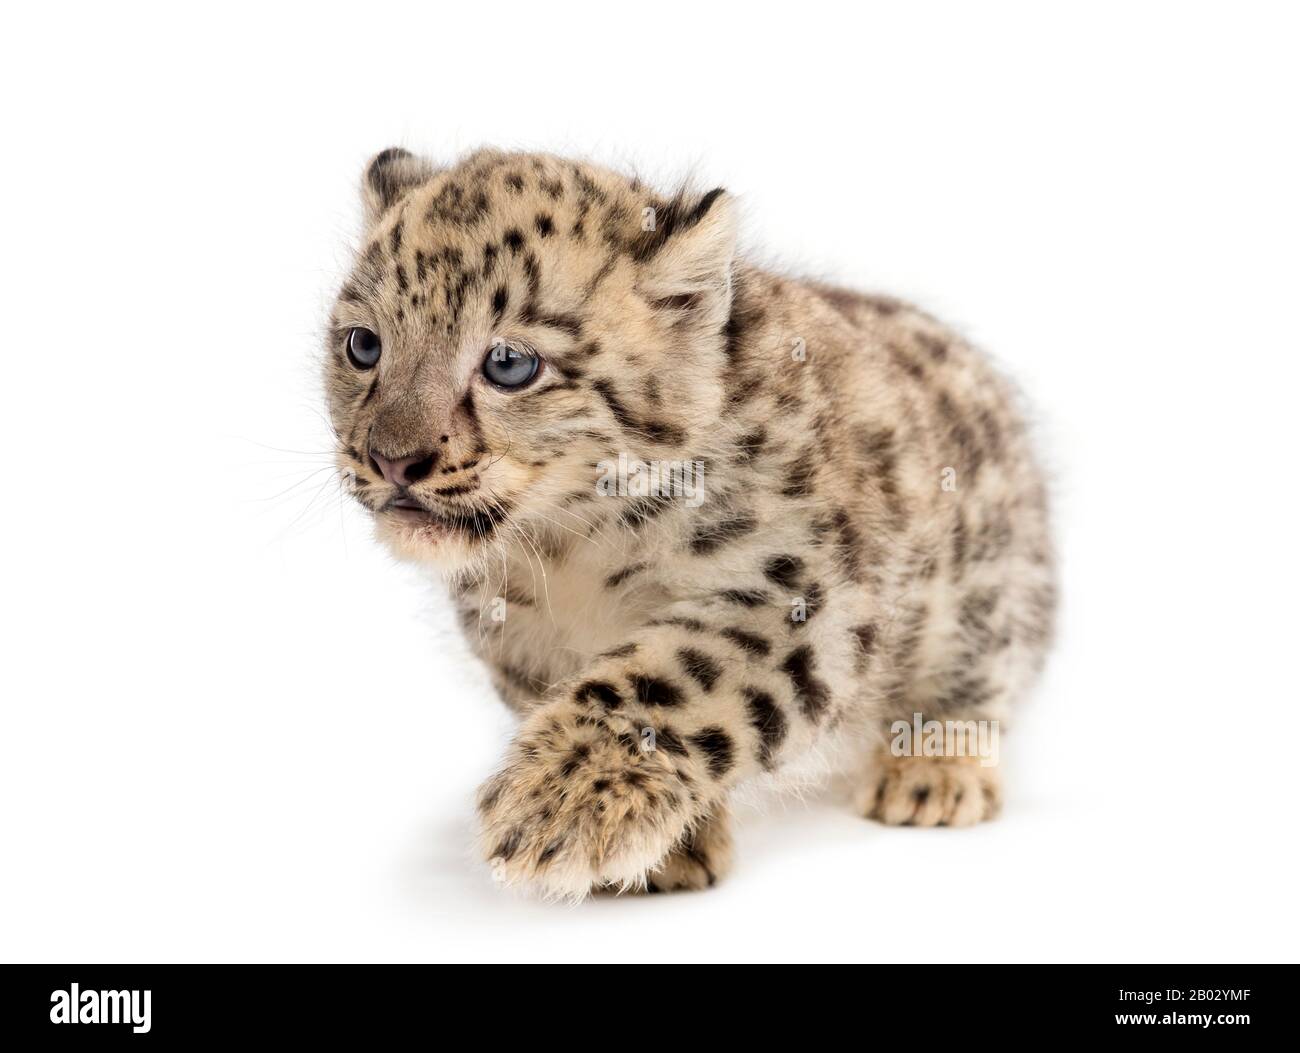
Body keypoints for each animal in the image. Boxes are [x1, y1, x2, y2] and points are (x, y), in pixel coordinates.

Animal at [322, 146, 1056, 900]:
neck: (564, 549)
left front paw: (556, 805)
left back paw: (934, 773)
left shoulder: (795, 590)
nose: (391, 458)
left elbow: (667, 683)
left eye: (509, 362)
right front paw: (673, 848)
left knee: (984, 670)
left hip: (987, 587)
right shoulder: (515, 634)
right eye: (363, 345)